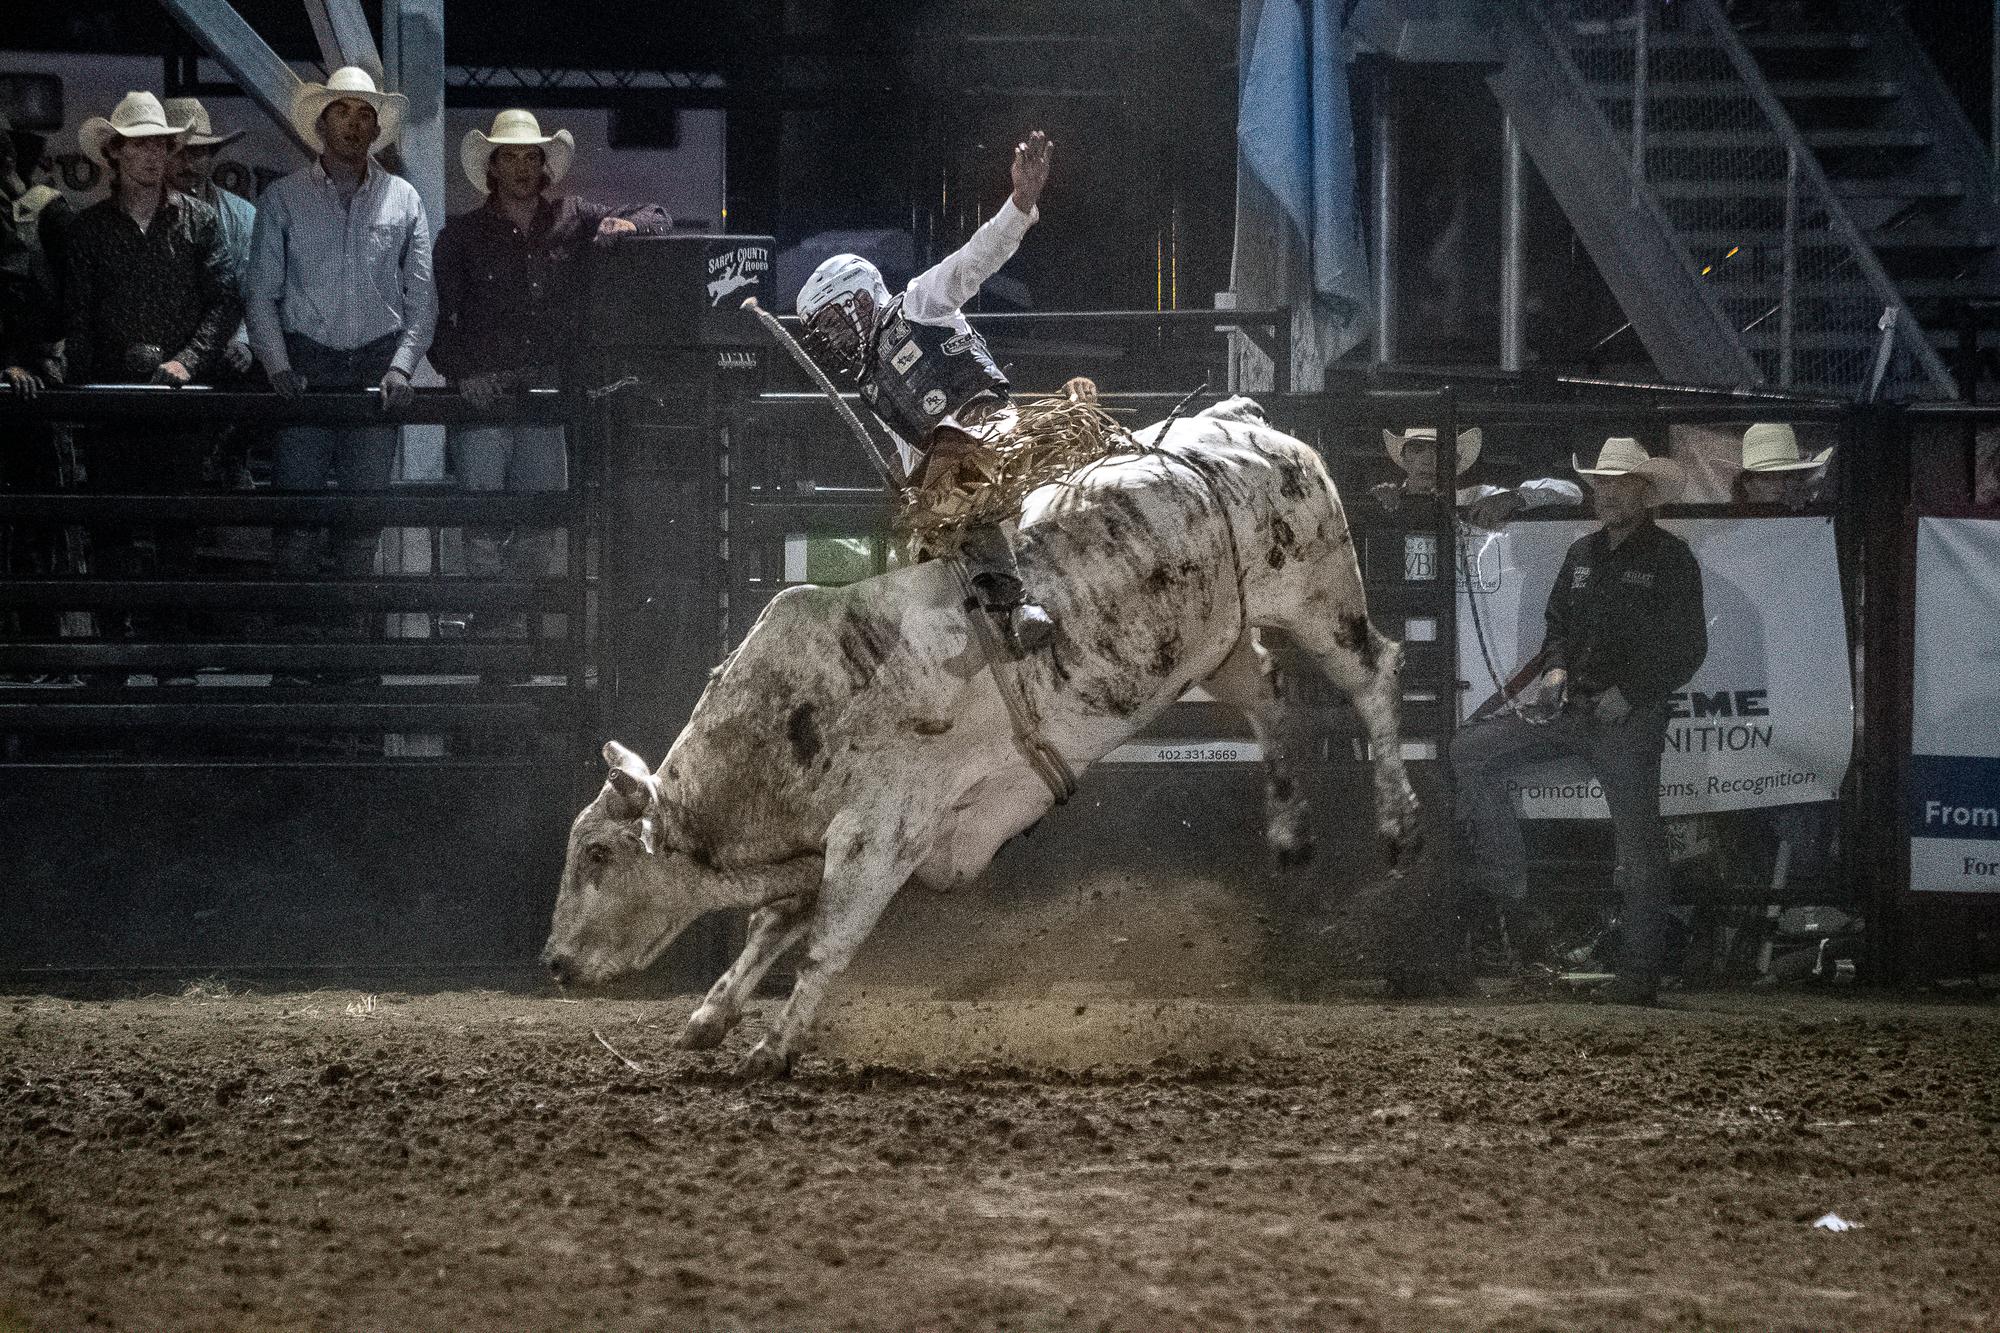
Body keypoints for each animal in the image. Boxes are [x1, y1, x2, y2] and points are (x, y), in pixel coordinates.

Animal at [542, 398, 1419, 1077]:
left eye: (598, 855)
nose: (553, 961)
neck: (800, 720)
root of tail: (1245, 422)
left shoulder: (882, 832)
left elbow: (824, 940)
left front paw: (772, 1049)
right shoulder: (818, 848)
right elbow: (772, 928)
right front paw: (709, 1018)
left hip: (1317, 590)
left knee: (1374, 673)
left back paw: (1397, 823)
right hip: (1221, 641)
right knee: (1268, 695)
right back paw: (1291, 835)